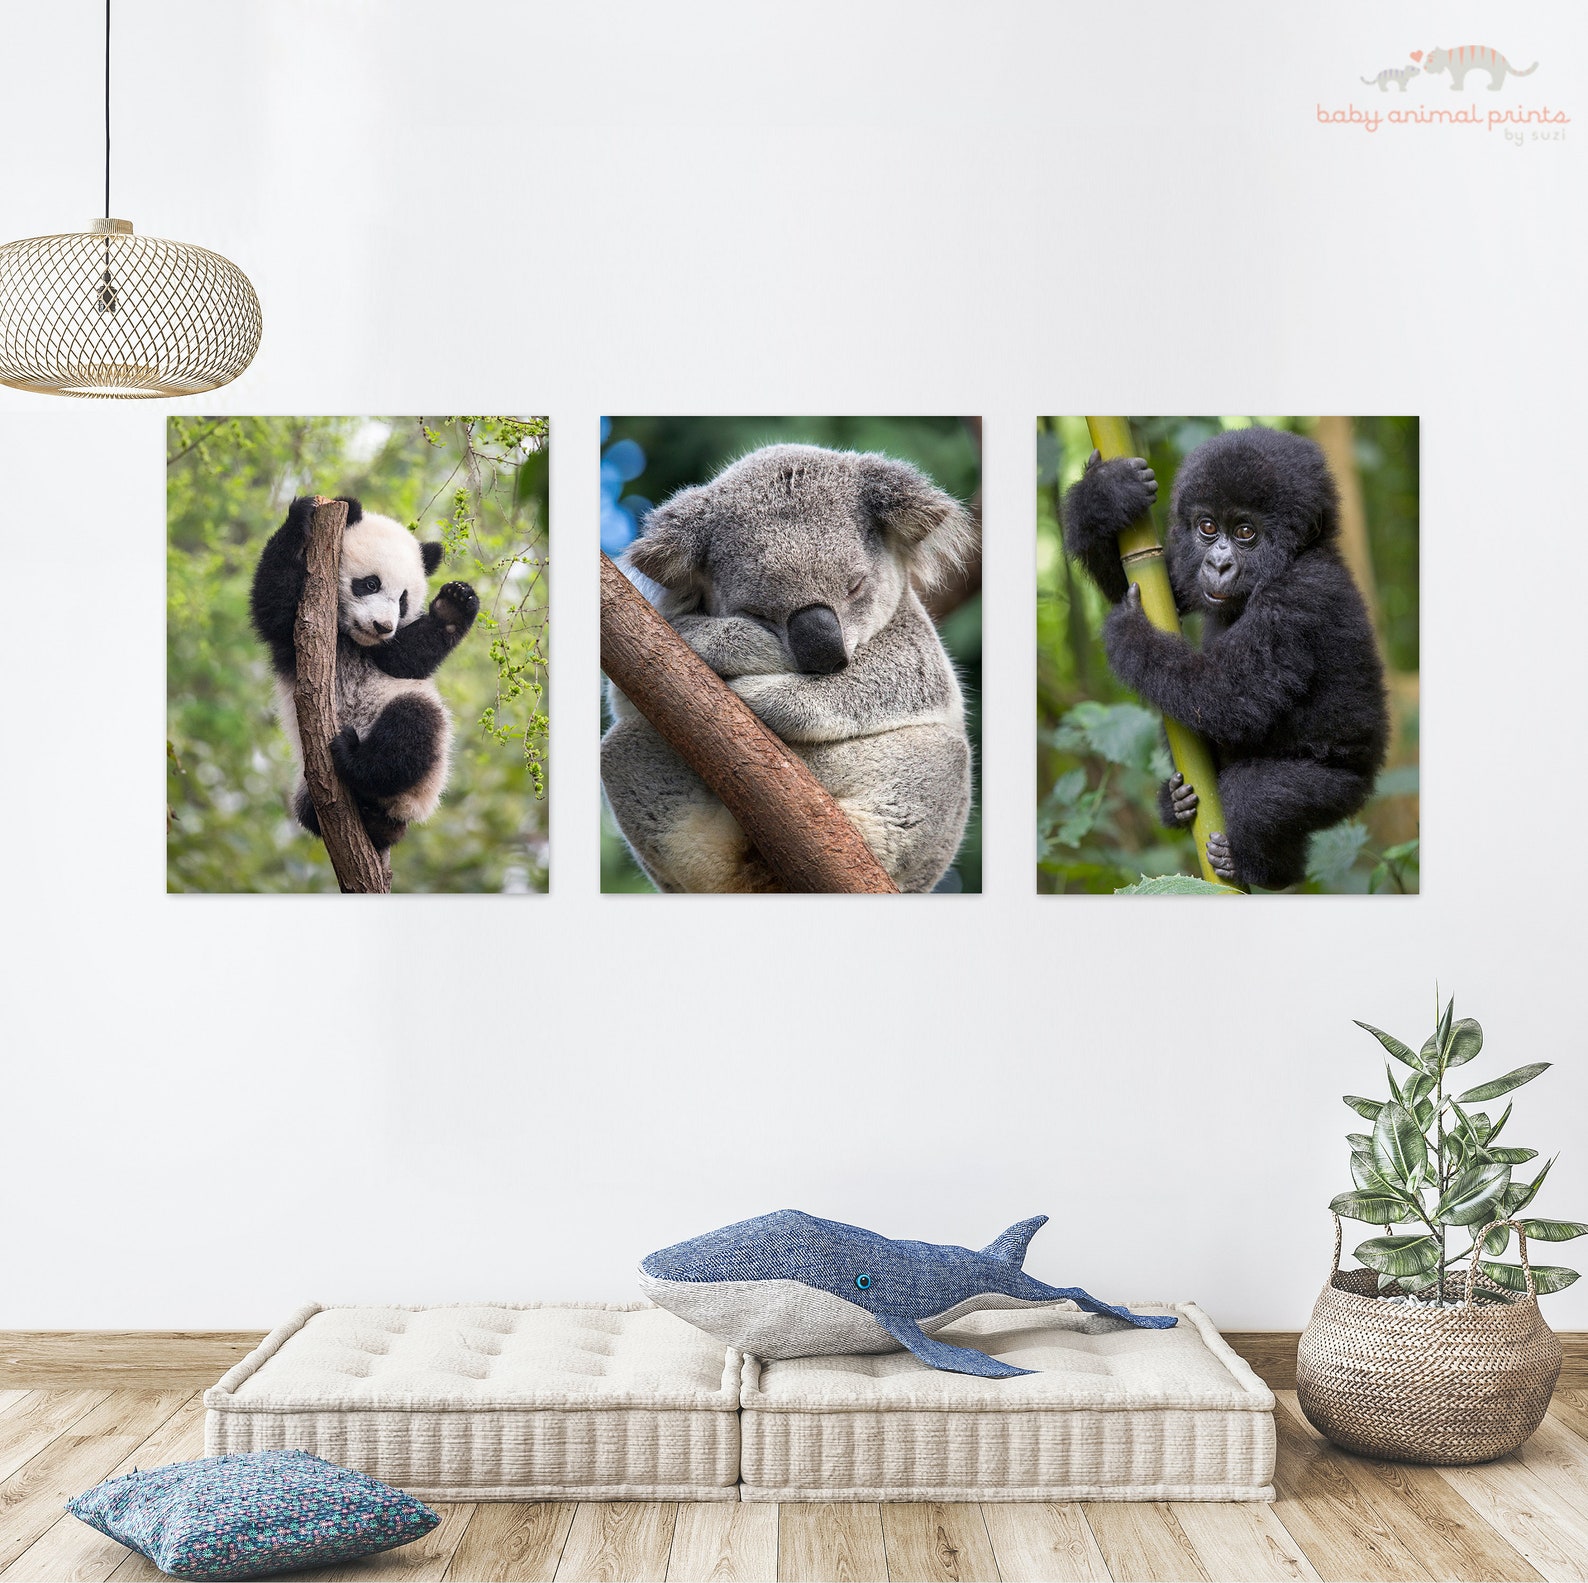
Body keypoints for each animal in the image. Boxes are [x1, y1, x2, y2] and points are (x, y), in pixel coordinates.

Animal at [249, 495, 479, 850]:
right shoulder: (298, 632)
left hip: (422, 766)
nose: (382, 626)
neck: (351, 638)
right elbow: (275, 605)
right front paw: (301, 515)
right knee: (307, 808)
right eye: (370, 584)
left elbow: (405, 659)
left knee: (411, 730)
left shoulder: (388, 653)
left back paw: (355, 764)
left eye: (403, 600)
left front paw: (453, 606)